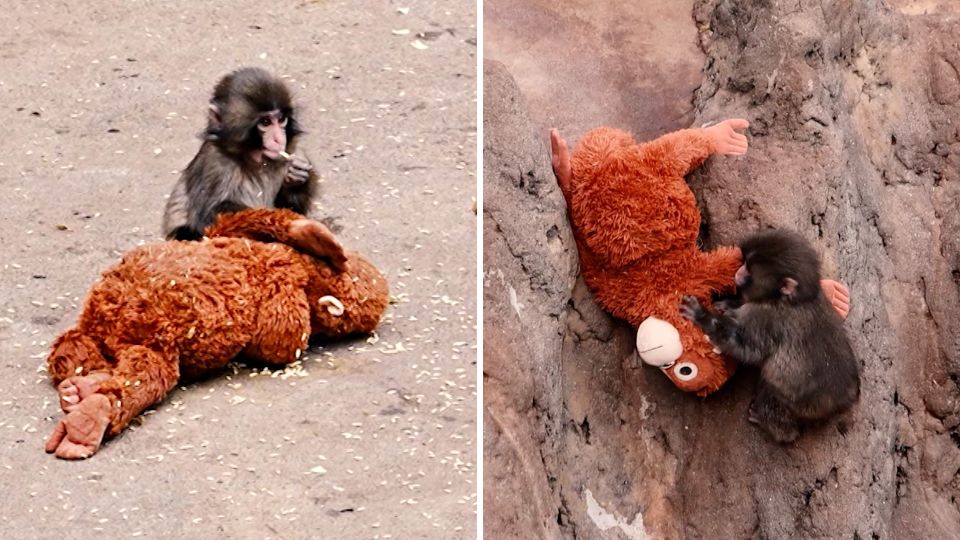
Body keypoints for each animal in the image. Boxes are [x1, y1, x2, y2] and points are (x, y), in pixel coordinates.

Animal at [162, 67, 318, 240]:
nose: (278, 139)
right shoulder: (215, 163)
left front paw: (297, 177)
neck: (254, 160)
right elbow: (208, 216)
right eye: (265, 122)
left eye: (281, 119)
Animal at [679, 229, 860, 442]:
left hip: (803, 405)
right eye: (744, 263)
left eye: (749, 270)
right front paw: (728, 306)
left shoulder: (767, 318)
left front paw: (701, 315)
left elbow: (744, 346)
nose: (738, 272)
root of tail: (847, 400)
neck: (789, 299)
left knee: (773, 392)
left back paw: (777, 427)